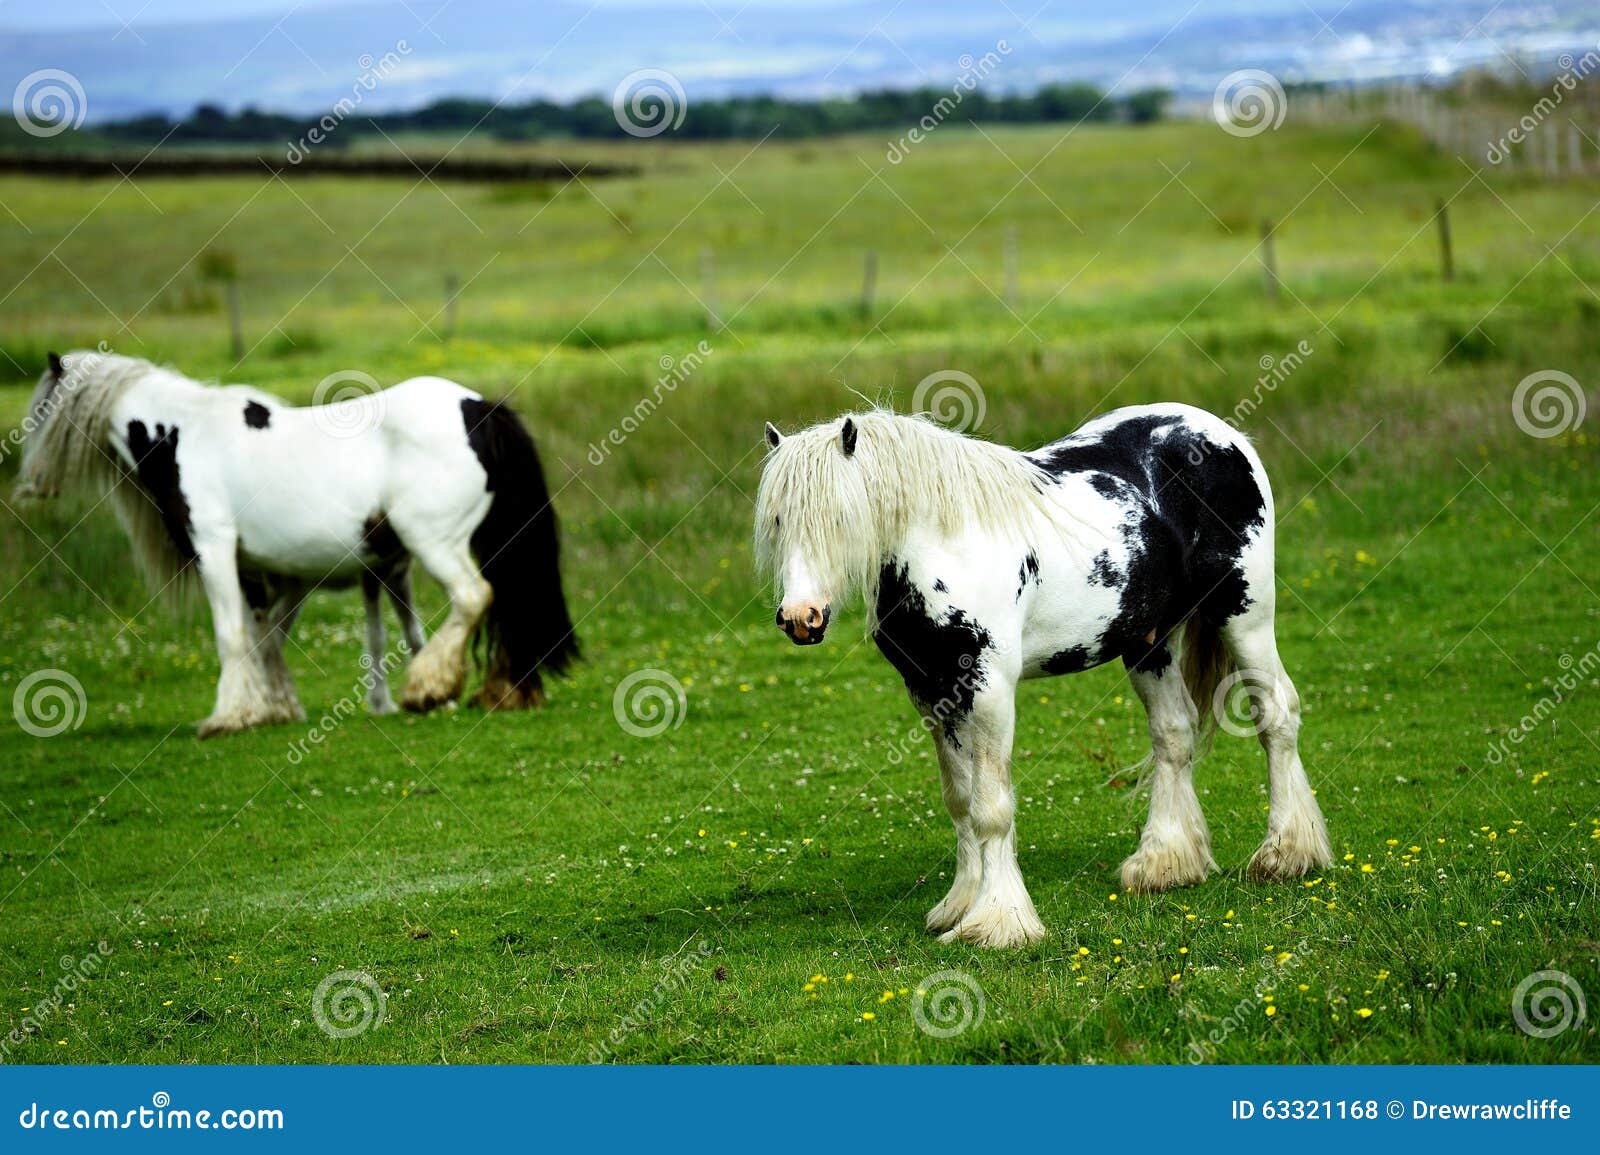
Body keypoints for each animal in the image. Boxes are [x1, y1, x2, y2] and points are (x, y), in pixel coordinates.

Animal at [16, 350, 578, 736]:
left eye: (43, 408)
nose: (29, 484)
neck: (180, 432)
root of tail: (479, 407)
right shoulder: (263, 571)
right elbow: (266, 635)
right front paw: (274, 708)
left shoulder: (214, 548)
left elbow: (233, 636)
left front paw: (228, 716)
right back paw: (499, 691)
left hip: (433, 541)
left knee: (473, 597)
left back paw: (428, 686)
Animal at [755, 404, 1331, 949]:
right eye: (779, 521)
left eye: (840, 517)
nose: (800, 618)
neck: (945, 546)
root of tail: (1223, 434)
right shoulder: (931, 693)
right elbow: (960, 801)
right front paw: (960, 905)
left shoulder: (988, 690)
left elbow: (990, 808)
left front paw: (997, 922)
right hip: (1149, 643)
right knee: (1173, 735)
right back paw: (1164, 864)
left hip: (1245, 617)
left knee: (1277, 715)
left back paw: (1286, 854)